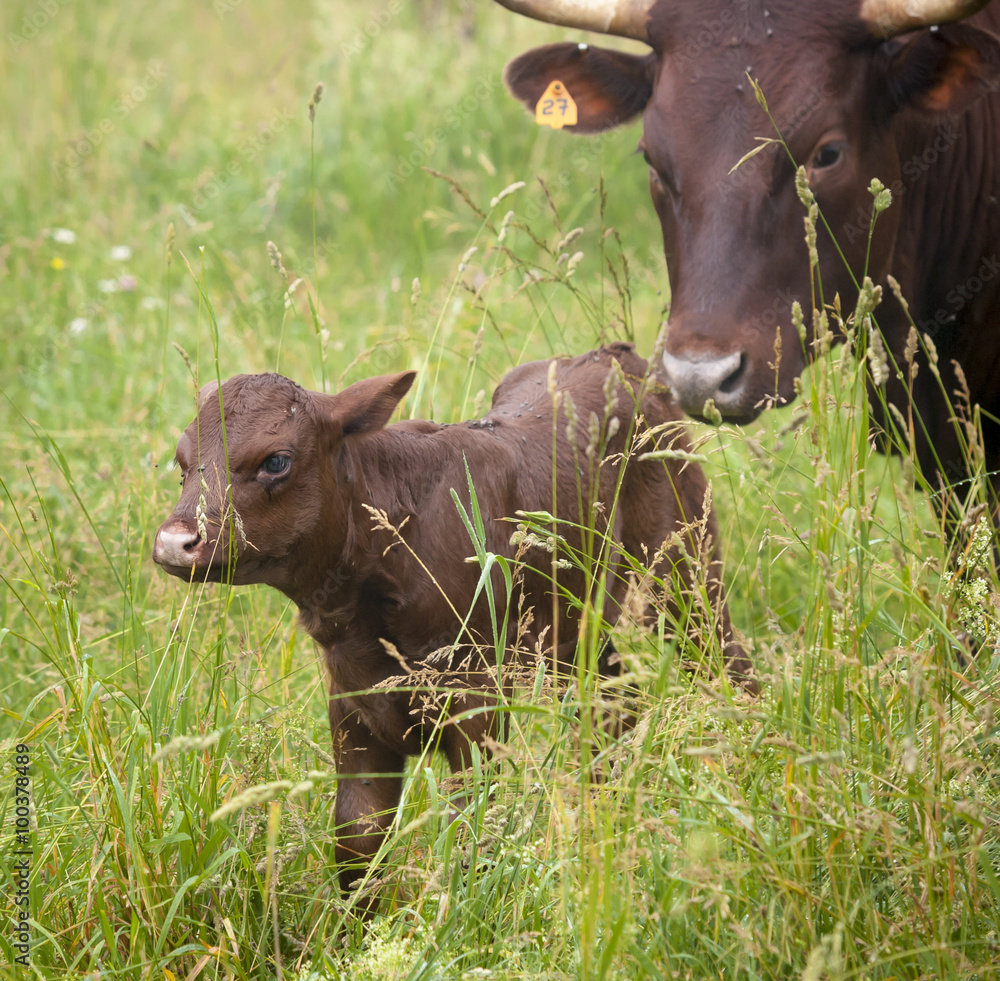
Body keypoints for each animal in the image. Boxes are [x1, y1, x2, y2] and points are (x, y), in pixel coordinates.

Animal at [153, 344, 755, 907]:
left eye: (276, 460)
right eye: (182, 462)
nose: (175, 543)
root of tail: (614, 356)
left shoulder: (479, 702)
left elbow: (470, 828)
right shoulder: (351, 703)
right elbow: (357, 837)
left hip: (689, 581)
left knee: (729, 666)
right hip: (582, 632)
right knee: (608, 716)